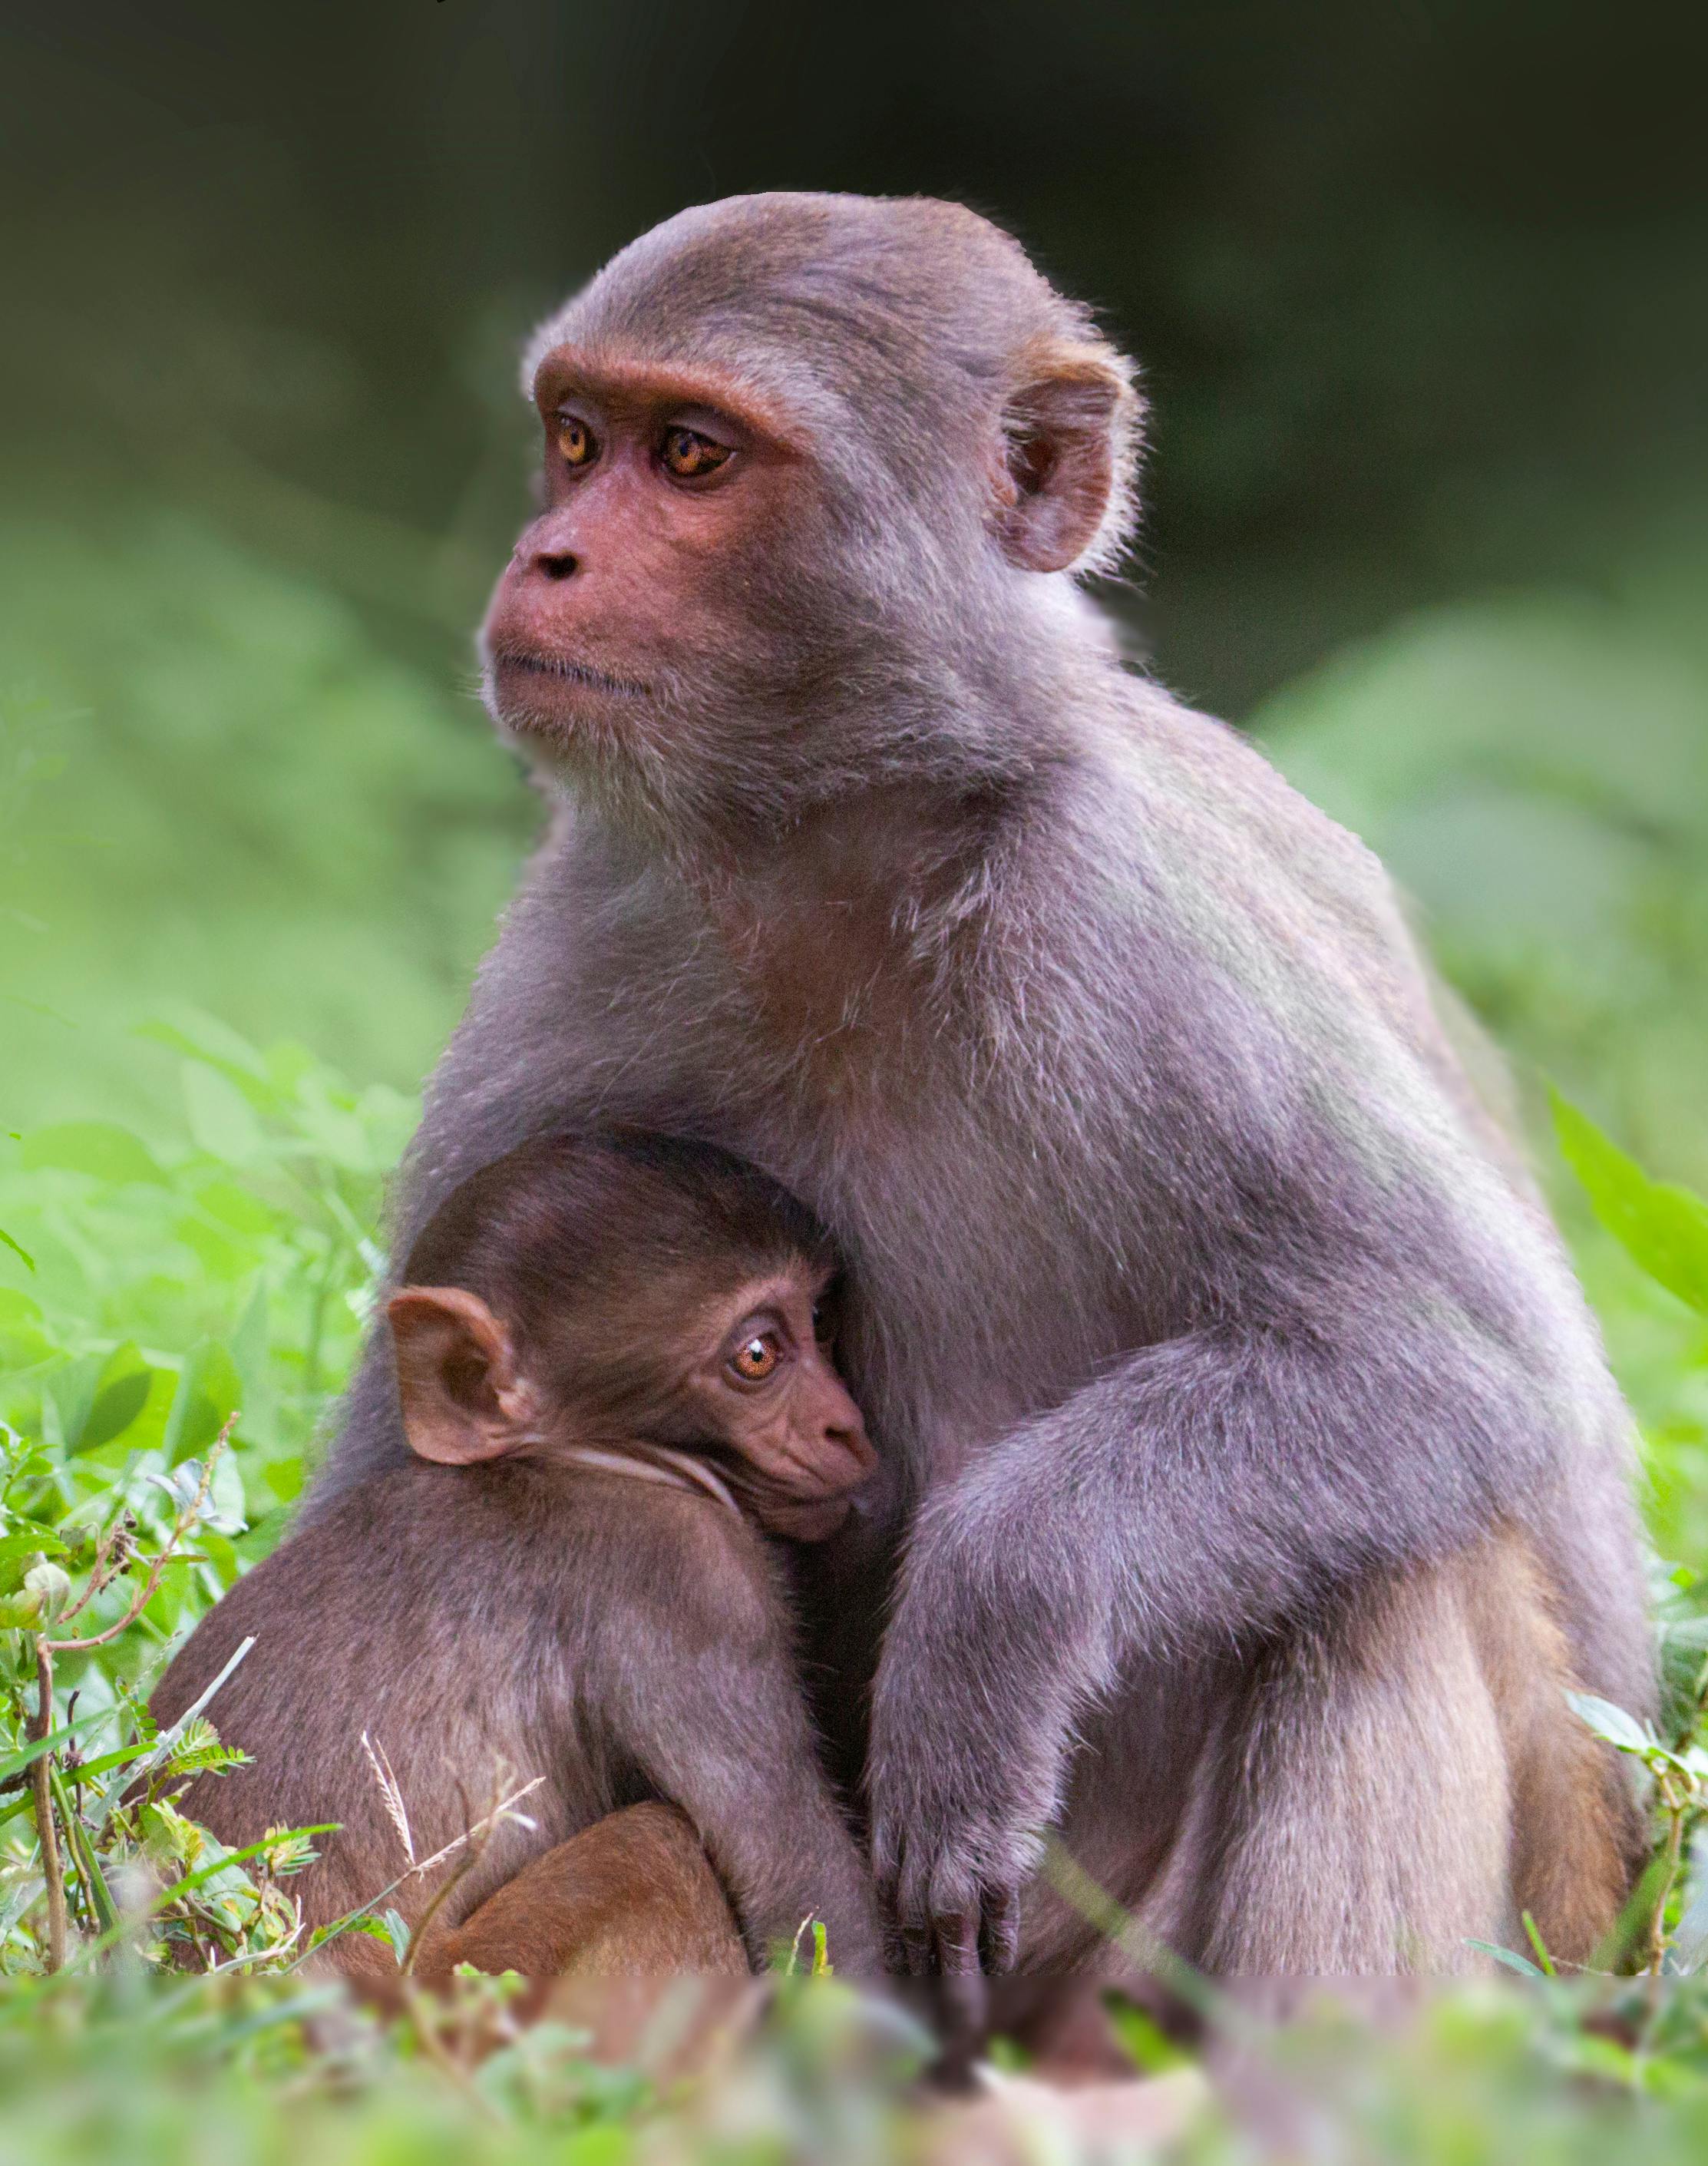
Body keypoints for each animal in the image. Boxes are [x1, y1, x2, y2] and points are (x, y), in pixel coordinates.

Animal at [151, 1130, 885, 1979]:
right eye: (759, 1354)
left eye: (820, 1323)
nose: (845, 1425)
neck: (586, 1459)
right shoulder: (693, 1581)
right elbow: (793, 1883)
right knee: (658, 1846)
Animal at [305, 192, 1653, 1980]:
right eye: (576, 440)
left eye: (690, 458)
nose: (544, 559)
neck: (858, 855)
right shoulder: (596, 922)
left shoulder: (1124, 913)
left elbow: (1462, 1357)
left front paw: (980, 1638)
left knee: (1406, 1550)